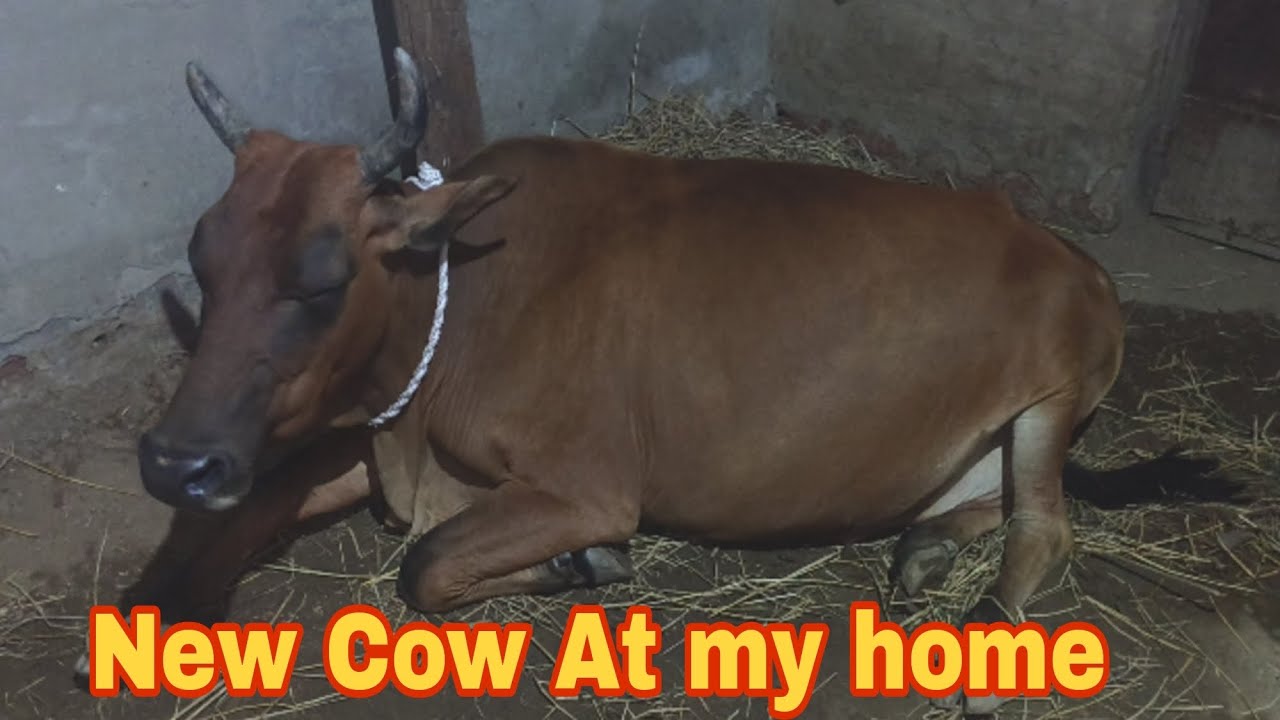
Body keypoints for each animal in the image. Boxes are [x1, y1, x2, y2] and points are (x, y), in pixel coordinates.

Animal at [82, 48, 1235, 714]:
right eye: (203, 257)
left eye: (320, 279)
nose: (174, 462)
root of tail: (1068, 253)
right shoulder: (363, 436)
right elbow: (264, 501)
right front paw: (166, 592)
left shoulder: (585, 486)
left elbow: (428, 567)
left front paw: (579, 566)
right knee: (986, 500)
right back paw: (919, 552)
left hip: (1050, 390)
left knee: (1046, 523)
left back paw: (988, 642)